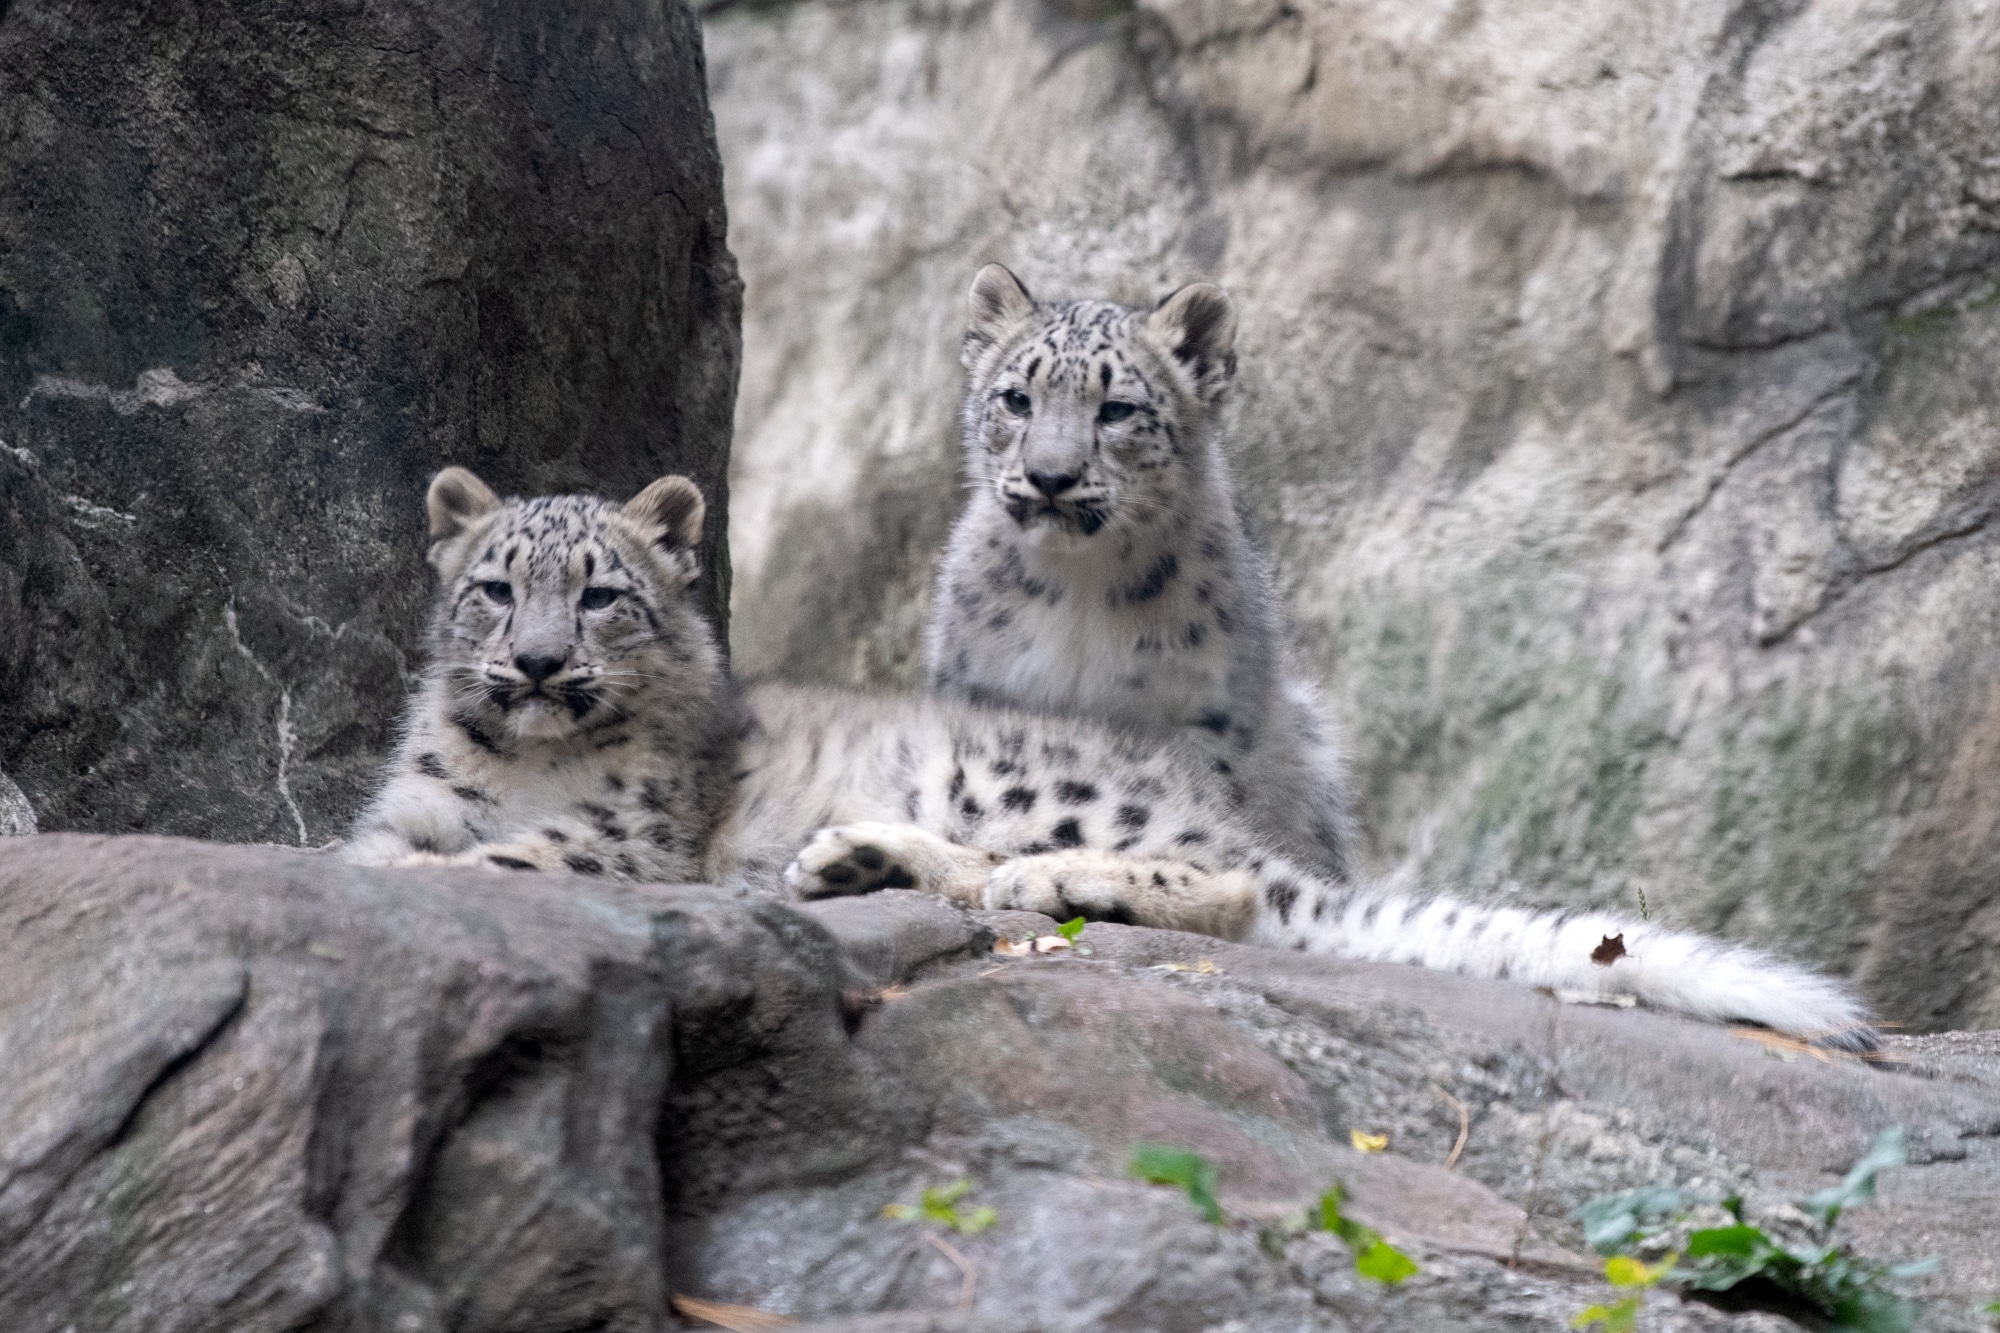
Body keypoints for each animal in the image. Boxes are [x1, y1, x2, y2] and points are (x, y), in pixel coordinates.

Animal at [350, 469, 1878, 1050]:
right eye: (496, 588)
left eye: (603, 595)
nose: (535, 667)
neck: (509, 760)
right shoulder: (409, 803)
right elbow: (372, 846)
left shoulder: (625, 836)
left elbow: (526, 852)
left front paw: (464, 874)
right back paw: (851, 857)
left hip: (1023, 777)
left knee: (1229, 889)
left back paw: (1035, 883)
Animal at [926, 264, 1353, 880]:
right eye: (1016, 400)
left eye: (1116, 410)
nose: (1049, 477)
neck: (1081, 583)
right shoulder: (979, 692)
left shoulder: (1198, 717)